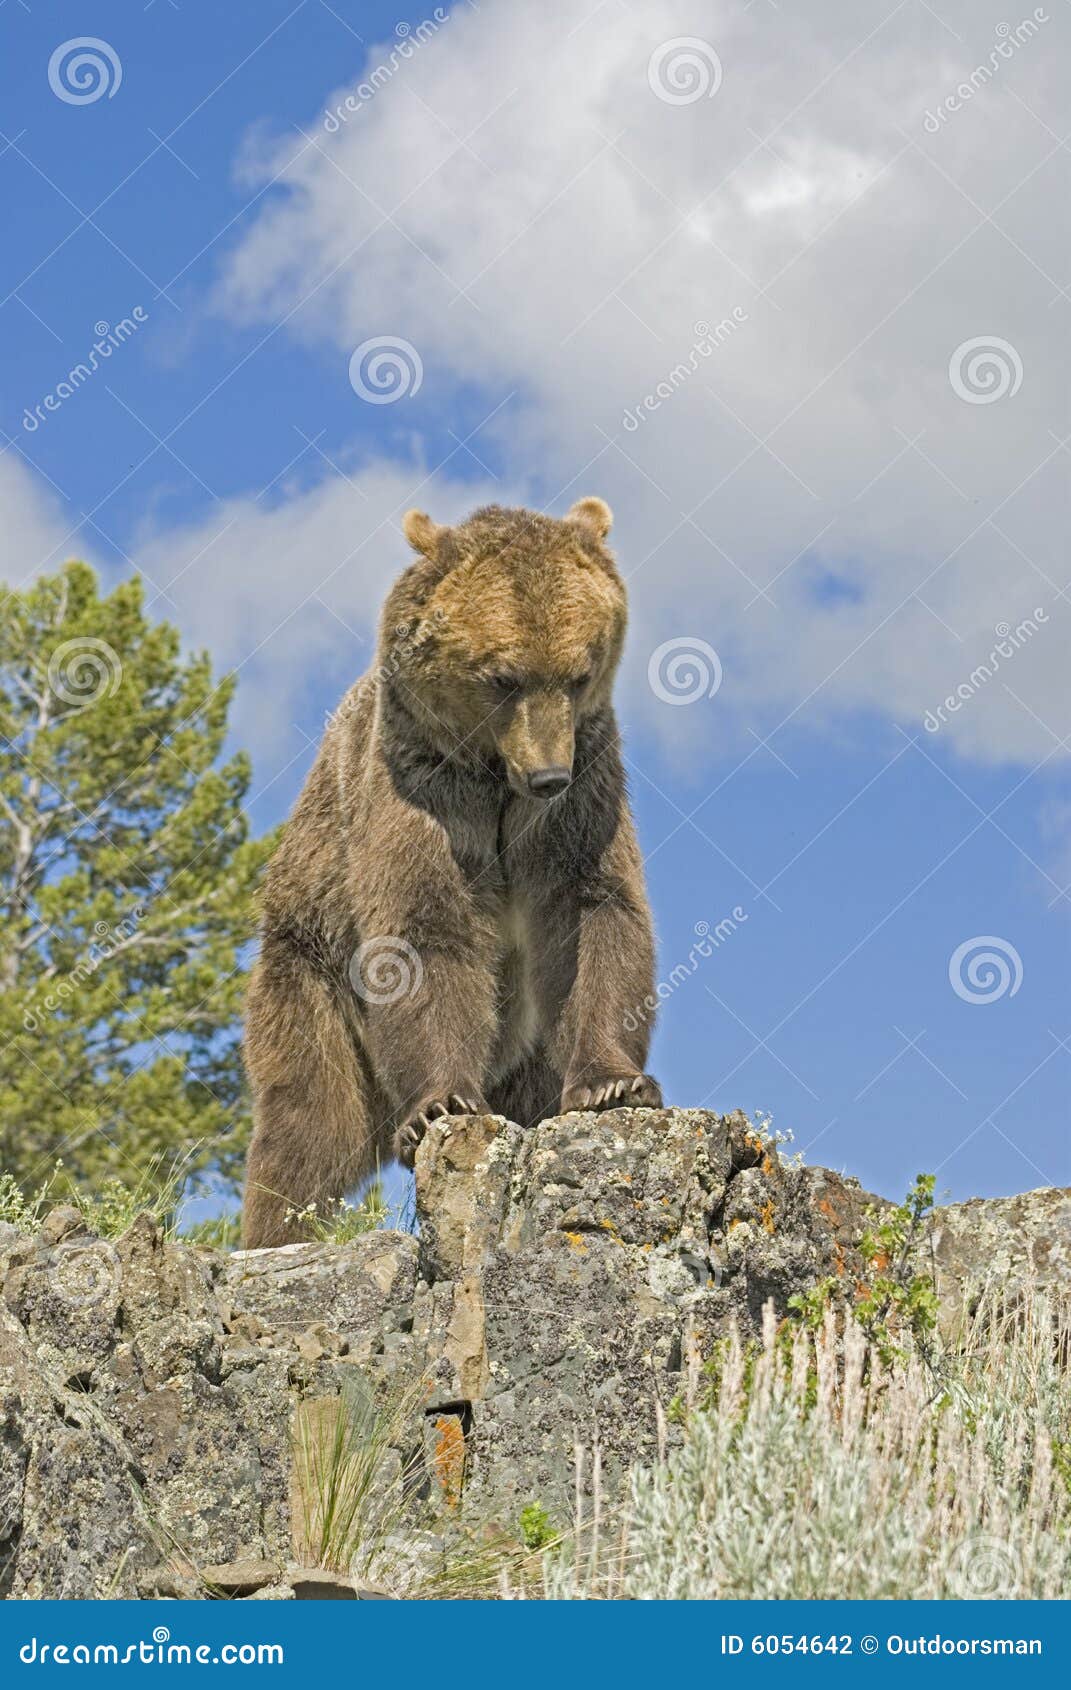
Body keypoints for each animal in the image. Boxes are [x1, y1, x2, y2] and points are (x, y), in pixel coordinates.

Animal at [241, 498, 661, 1248]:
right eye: (503, 677)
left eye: (578, 673)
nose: (548, 775)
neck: (495, 778)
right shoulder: (422, 787)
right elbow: (423, 929)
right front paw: (440, 1105)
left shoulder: (583, 794)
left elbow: (591, 911)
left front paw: (614, 1085)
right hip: (311, 966)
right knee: (309, 1123)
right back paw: (275, 1229)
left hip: (523, 1050)